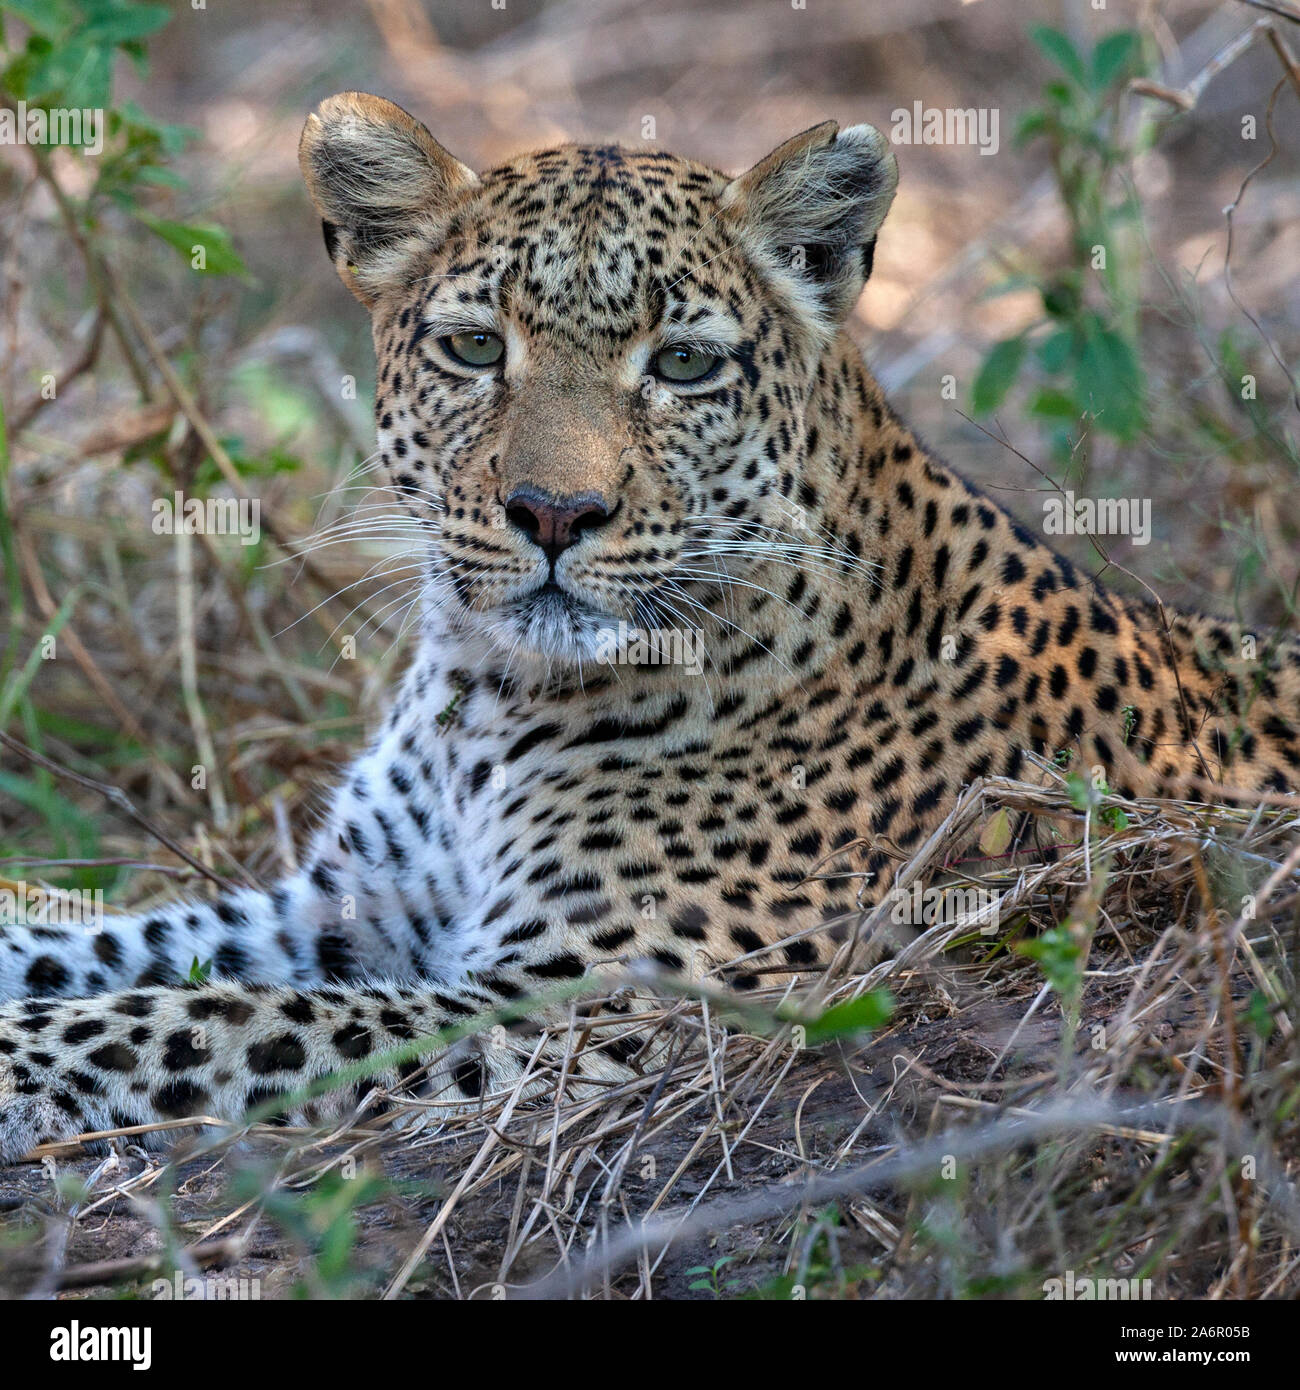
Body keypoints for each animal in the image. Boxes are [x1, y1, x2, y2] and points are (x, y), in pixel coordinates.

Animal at [1, 93, 1297, 1165]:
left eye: (681, 364)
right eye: (475, 346)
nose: (553, 511)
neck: (487, 692)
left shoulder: (597, 1002)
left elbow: (184, 1016)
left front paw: (15, 1069)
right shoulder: (337, 911)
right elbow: (99, 950)